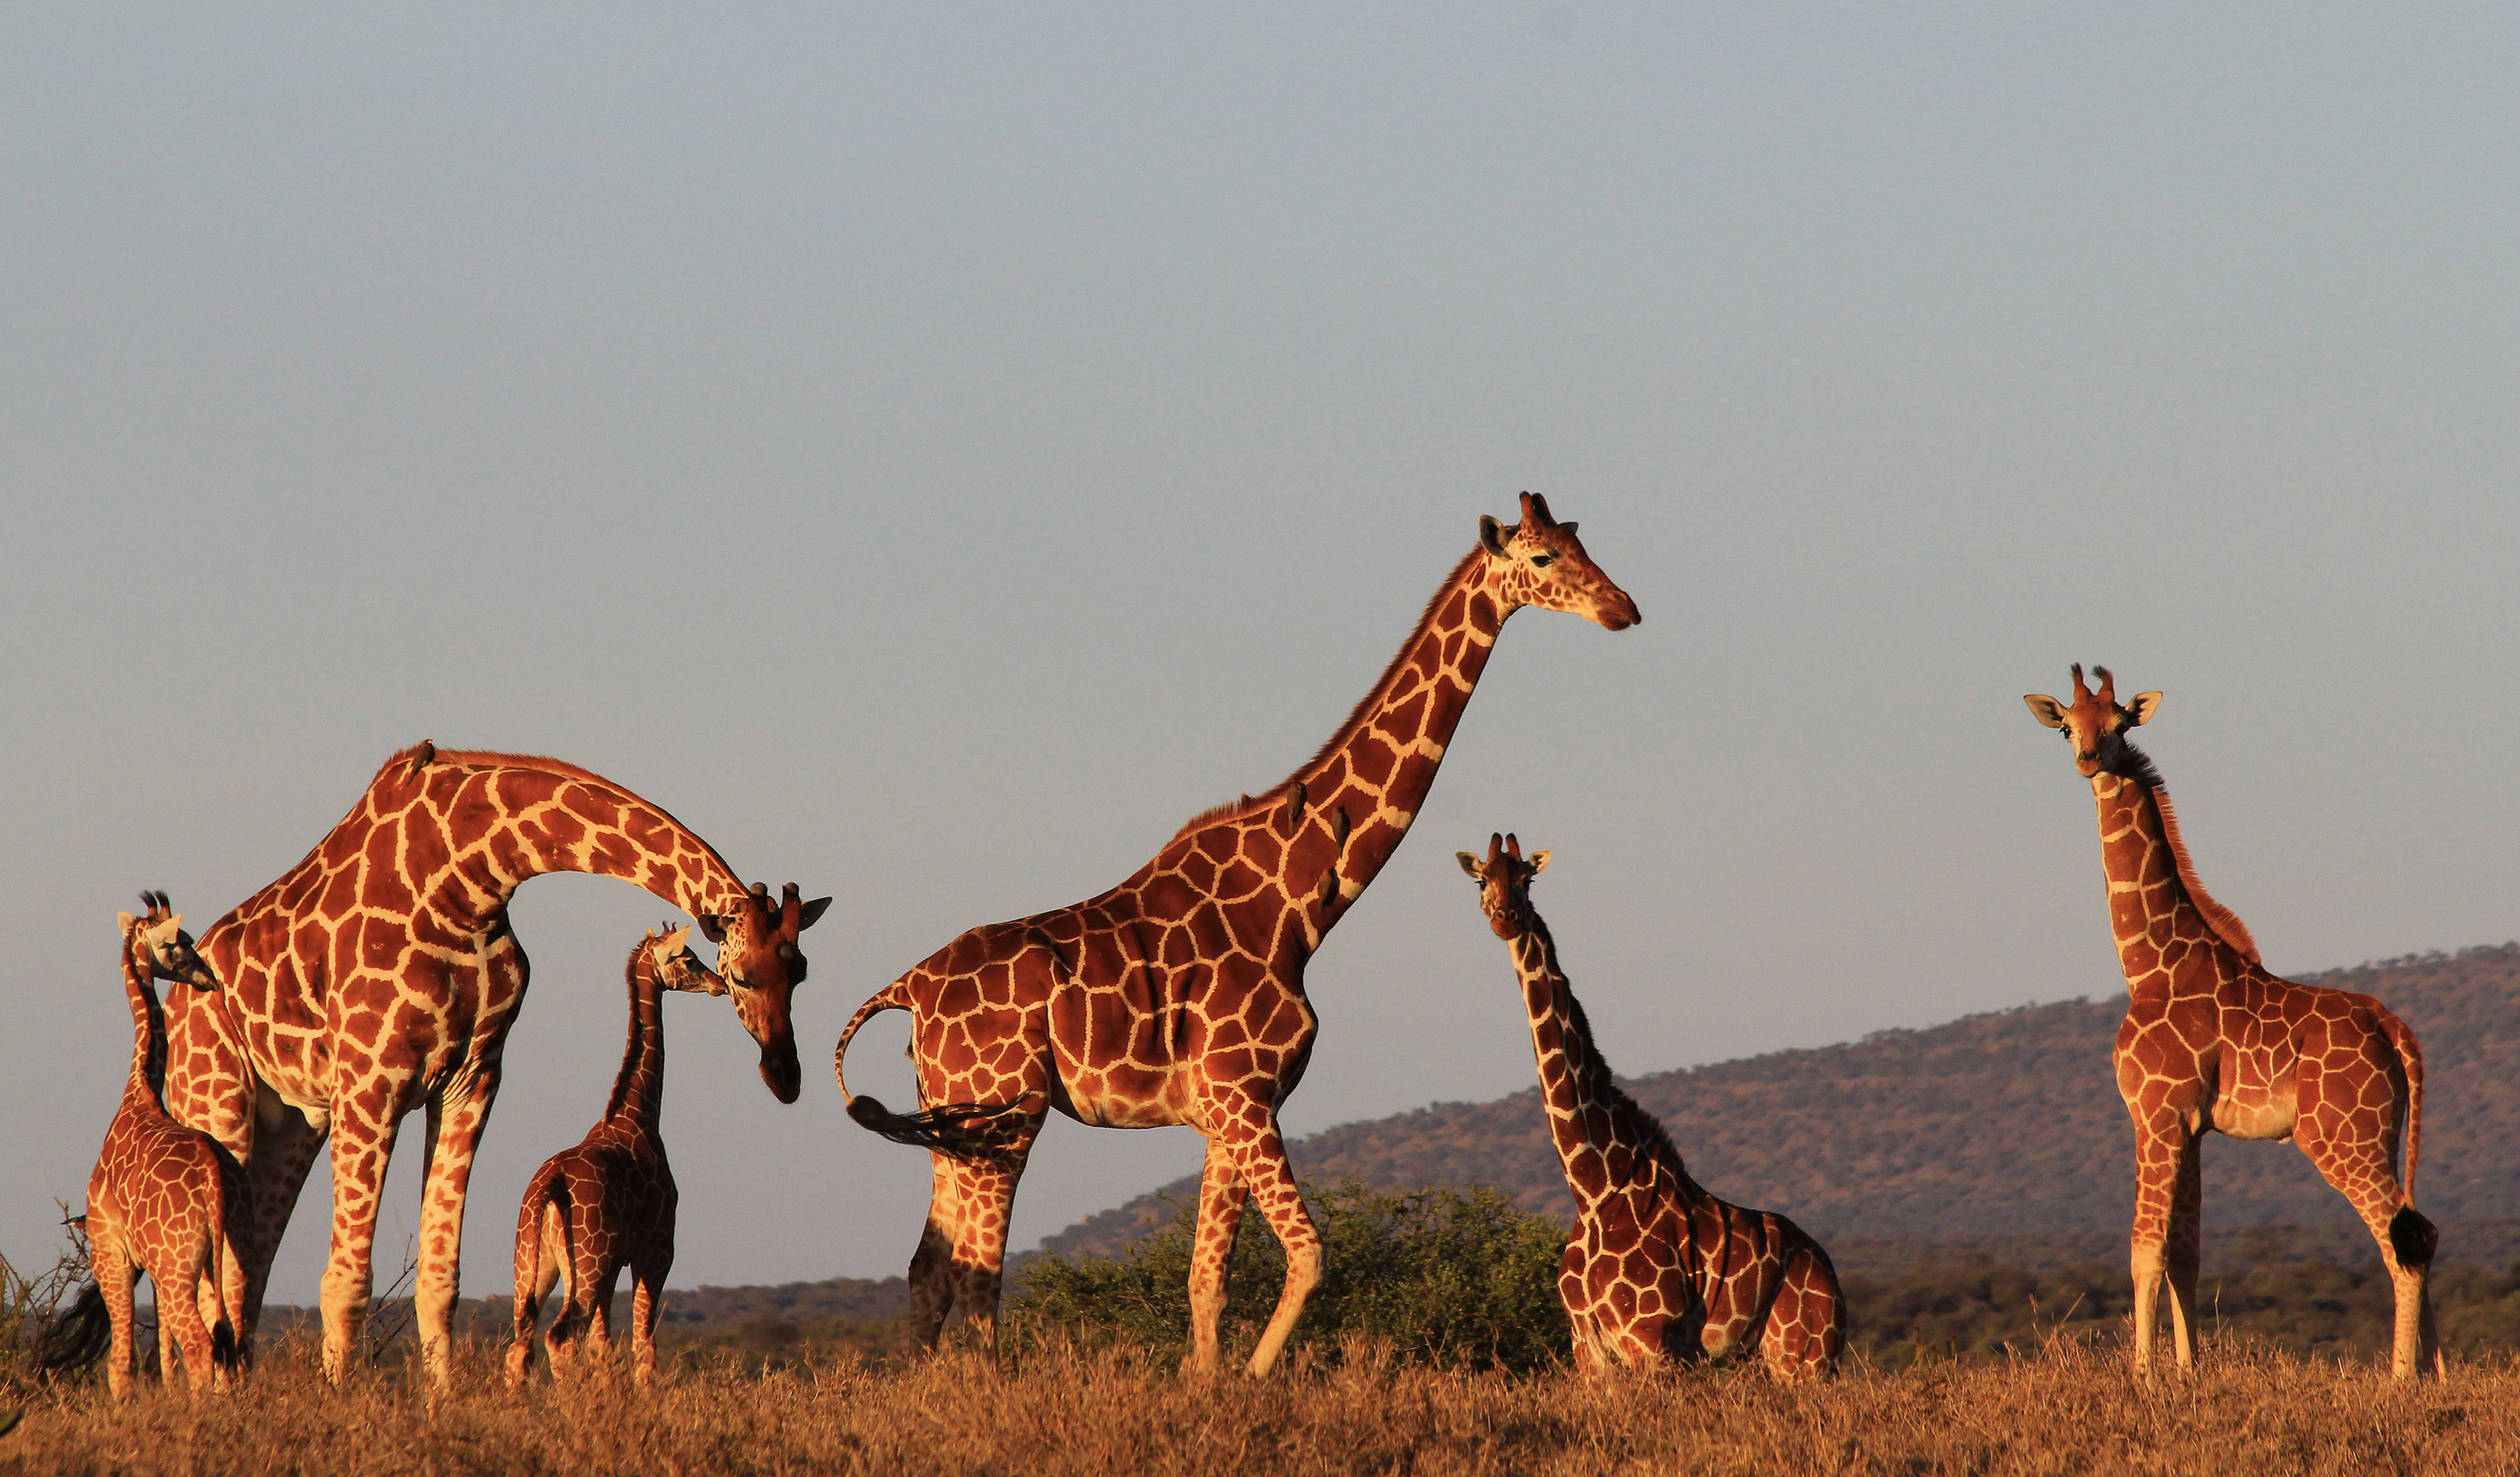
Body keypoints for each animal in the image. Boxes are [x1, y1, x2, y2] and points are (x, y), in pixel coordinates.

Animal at [65, 895, 254, 1398]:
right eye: (179, 944)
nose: (210, 977)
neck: (140, 1092)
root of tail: (213, 1181)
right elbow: (162, 1356)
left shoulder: (111, 1252)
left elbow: (120, 1362)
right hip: (232, 1254)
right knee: (234, 1338)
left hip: (174, 1264)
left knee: (201, 1343)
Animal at [505, 925, 722, 1388]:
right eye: (689, 958)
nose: (719, 984)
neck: (638, 1115)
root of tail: (548, 1187)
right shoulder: (656, 1250)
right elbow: (644, 1345)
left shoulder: (614, 1266)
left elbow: (603, 1348)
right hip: (588, 1262)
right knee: (559, 1336)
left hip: (536, 1263)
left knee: (521, 1342)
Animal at [833, 494, 1641, 1375]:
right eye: (1542, 559)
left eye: (1582, 544)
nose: (1623, 610)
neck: (1298, 908)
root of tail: (907, 989)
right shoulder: (1245, 1095)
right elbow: (1310, 1255)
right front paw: (1252, 1380)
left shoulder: (1225, 1113)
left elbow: (1205, 1277)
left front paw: (1206, 1384)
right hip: (1004, 1117)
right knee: (977, 1274)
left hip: (953, 1123)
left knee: (928, 1267)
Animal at [1457, 835, 1844, 1376]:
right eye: (1481, 880)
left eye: (1527, 879)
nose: (1506, 918)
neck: (1594, 1191)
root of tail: (1829, 1270)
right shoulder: (1587, 1347)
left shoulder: (1649, 1341)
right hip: (1759, 1358)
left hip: (1806, 1355)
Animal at [2024, 664, 2439, 1379]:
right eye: (2068, 728)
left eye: (2118, 726)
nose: (2088, 761)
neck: (2149, 967)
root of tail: (2393, 1028)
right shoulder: (2193, 1127)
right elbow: (2186, 1256)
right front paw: (2189, 1373)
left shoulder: (2154, 1113)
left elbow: (2144, 1250)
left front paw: (2144, 1377)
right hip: (2381, 1133)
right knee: (2425, 1230)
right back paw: (2440, 1371)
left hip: (2339, 1136)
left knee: (2399, 1245)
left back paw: (2397, 1381)